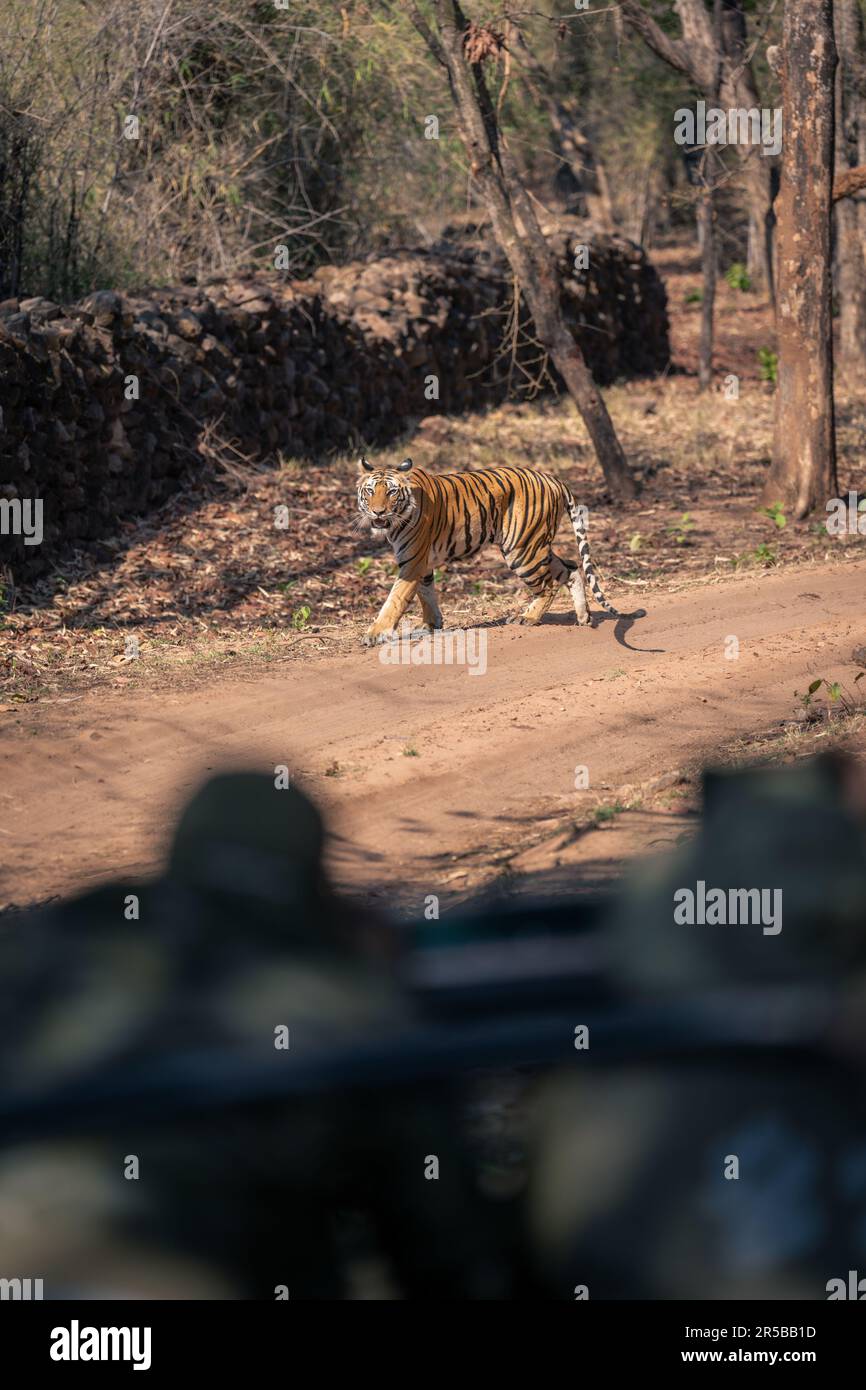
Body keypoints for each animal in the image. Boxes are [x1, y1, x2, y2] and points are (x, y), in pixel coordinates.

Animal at [355, 455, 633, 644]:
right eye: (370, 491)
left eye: (392, 492)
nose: (378, 512)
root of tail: (552, 478)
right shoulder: (421, 563)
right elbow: (426, 594)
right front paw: (431, 625)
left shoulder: (412, 561)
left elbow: (395, 599)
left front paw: (375, 634)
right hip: (535, 544)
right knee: (571, 569)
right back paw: (583, 617)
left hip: (521, 549)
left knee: (548, 586)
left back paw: (528, 618)